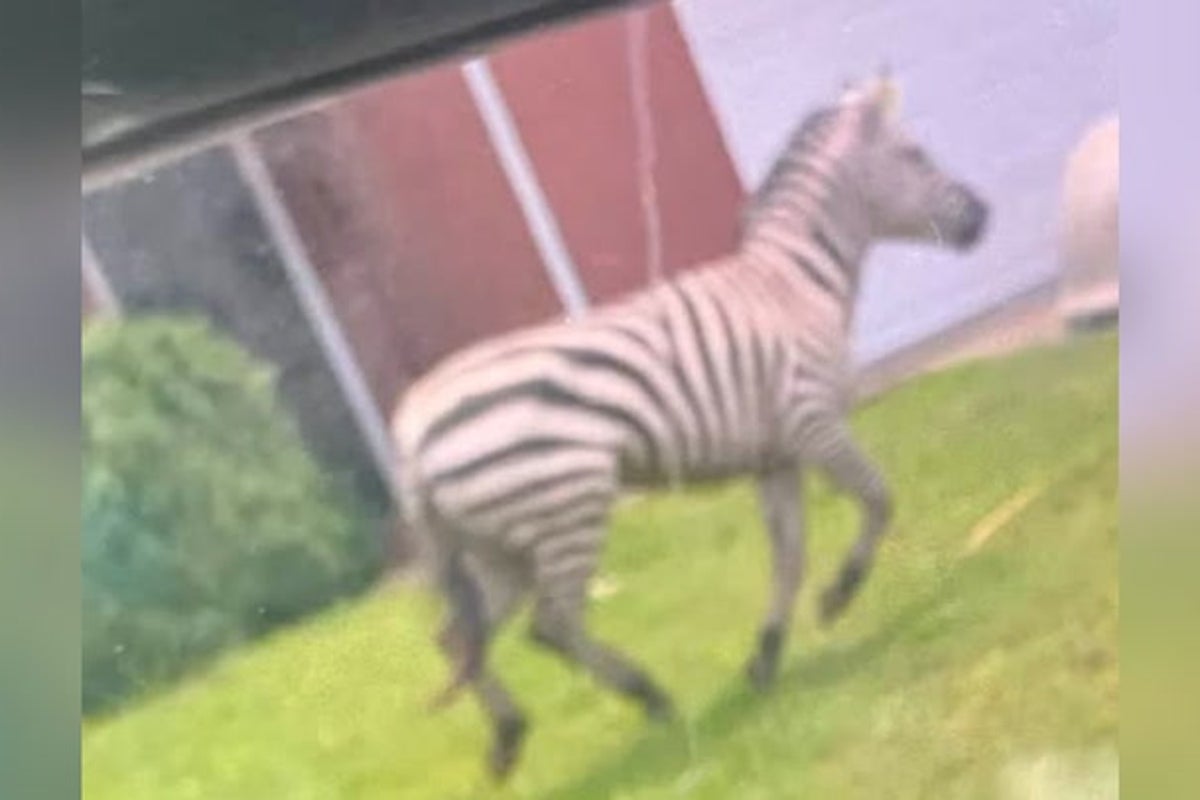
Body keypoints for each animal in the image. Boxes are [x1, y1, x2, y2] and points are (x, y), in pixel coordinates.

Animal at [392, 71, 989, 780]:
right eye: (914, 155)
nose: (983, 217)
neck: (793, 282)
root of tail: (412, 431)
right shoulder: (813, 423)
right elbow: (878, 500)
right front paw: (839, 596)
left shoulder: (775, 456)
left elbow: (789, 556)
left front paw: (766, 656)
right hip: (565, 505)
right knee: (552, 623)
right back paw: (648, 696)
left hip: (498, 544)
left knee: (458, 637)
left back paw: (511, 736)